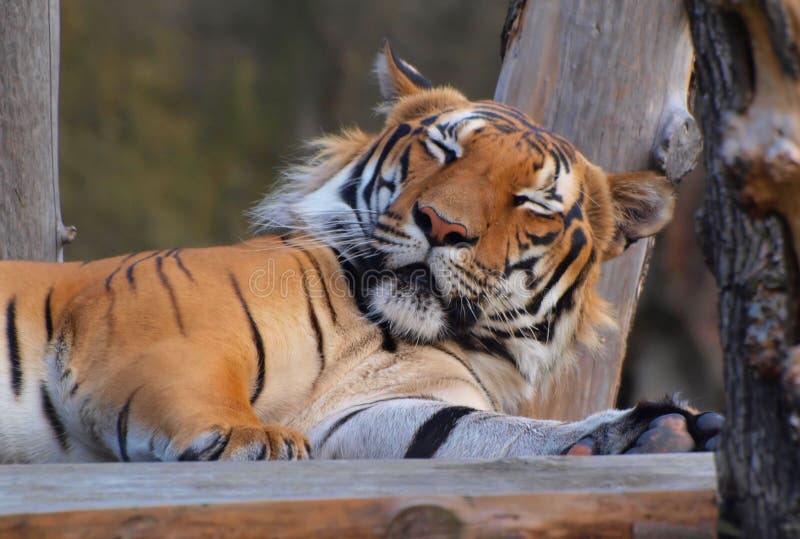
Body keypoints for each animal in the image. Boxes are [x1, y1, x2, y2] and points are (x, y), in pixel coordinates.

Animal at [0, 42, 723, 463]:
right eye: (446, 150)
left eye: (530, 201)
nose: (441, 224)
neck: (382, 330)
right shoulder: (160, 324)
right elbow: (196, 384)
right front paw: (254, 438)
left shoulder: (369, 413)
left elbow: (469, 430)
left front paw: (655, 431)